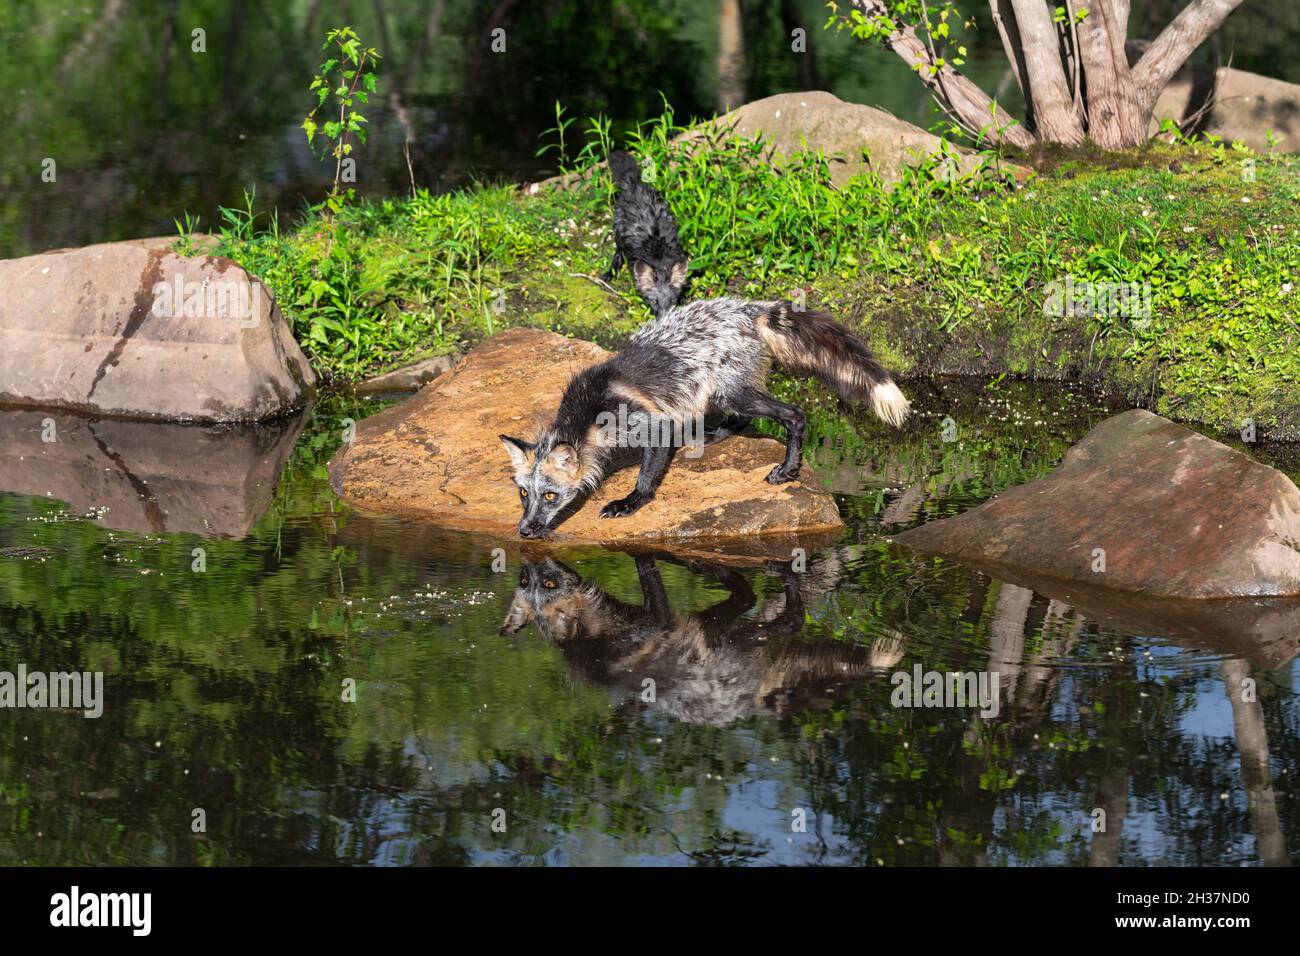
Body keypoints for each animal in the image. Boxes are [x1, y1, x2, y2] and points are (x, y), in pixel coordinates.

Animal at [499, 297, 911, 538]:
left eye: (550, 495)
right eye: (524, 493)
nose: (525, 531)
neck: (590, 413)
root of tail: (748, 307)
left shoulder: (653, 426)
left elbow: (646, 480)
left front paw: (629, 504)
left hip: (733, 393)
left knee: (794, 414)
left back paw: (787, 470)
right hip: (720, 394)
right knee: (742, 421)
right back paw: (710, 436)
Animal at [603, 149, 689, 317]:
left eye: (672, 300)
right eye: (654, 301)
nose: (664, 320)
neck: (658, 252)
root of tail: (634, 183)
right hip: (618, 230)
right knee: (617, 252)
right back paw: (609, 273)